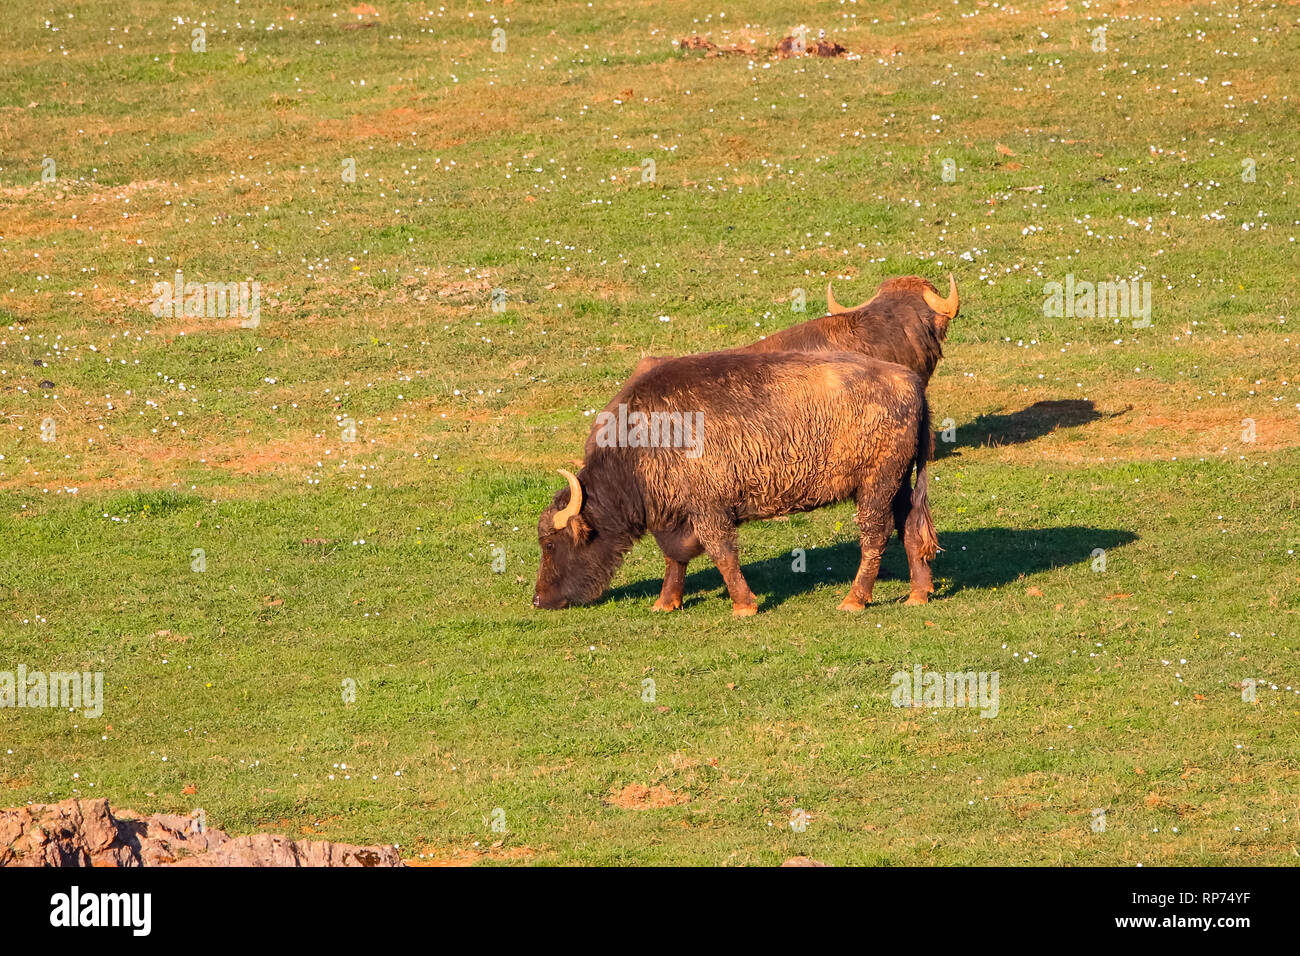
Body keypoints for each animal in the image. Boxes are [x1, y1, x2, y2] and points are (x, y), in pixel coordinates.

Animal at [533, 350, 938, 616]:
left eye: (551, 544)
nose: (539, 599)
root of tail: (910, 381)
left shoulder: (709, 512)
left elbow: (722, 554)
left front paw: (744, 606)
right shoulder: (675, 518)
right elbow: (675, 558)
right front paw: (665, 603)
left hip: (874, 487)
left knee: (875, 536)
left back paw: (853, 600)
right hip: (899, 485)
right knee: (909, 528)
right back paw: (919, 593)